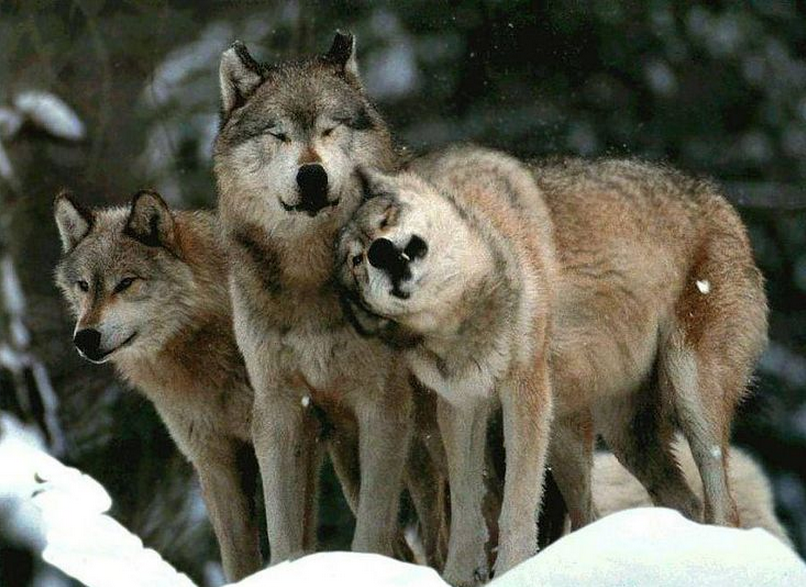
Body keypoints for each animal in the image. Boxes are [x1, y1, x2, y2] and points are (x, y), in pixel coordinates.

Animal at [213, 32, 446, 567]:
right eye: (278, 135)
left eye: (330, 128)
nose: (312, 176)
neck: (309, 280)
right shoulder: (279, 408)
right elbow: (283, 534)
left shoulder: (383, 406)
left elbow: (371, 533)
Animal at [336, 145, 768, 584]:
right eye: (355, 261)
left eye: (386, 219)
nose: (380, 252)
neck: (467, 312)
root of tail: (722, 203)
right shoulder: (461, 407)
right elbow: (466, 509)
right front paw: (457, 577)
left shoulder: (525, 390)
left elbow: (517, 504)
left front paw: (511, 571)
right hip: (605, 437)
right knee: (667, 506)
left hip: (687, 399)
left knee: (723, 508)